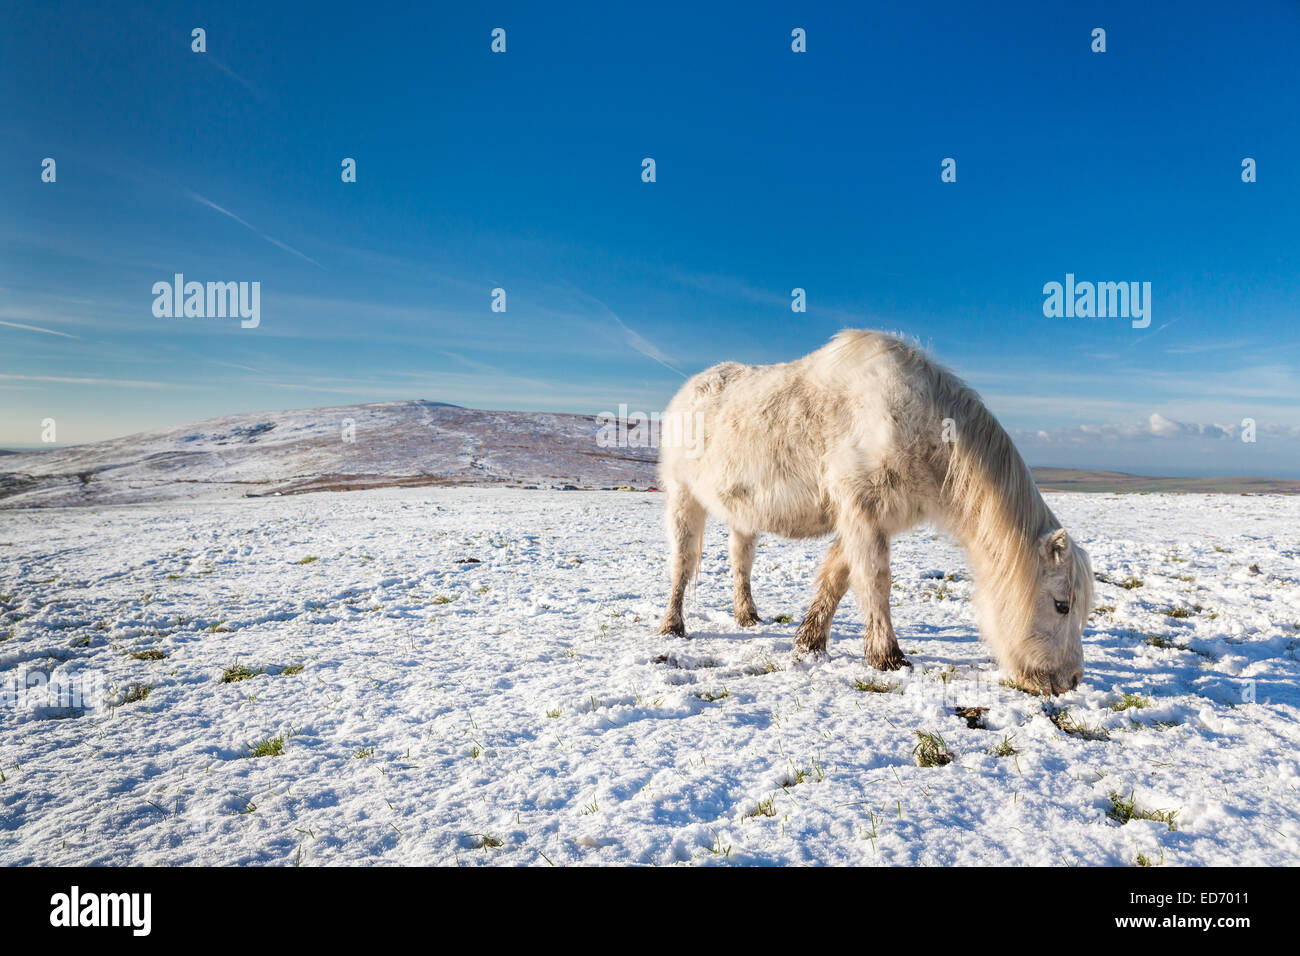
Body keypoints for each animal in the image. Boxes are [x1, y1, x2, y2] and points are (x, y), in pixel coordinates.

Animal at [656, 330, 1093, 695]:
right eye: (1062, 605)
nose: (1070, 680)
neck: (920, 424)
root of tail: (687, 390)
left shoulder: (868, 517)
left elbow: (838, 579)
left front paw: (809, 643)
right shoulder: (861, 510)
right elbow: (875, 581)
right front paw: (888, 658)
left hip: (743, 517)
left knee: (741, 560)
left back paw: (747, 616)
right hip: (683, 497)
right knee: (682, 562)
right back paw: (673, 626)